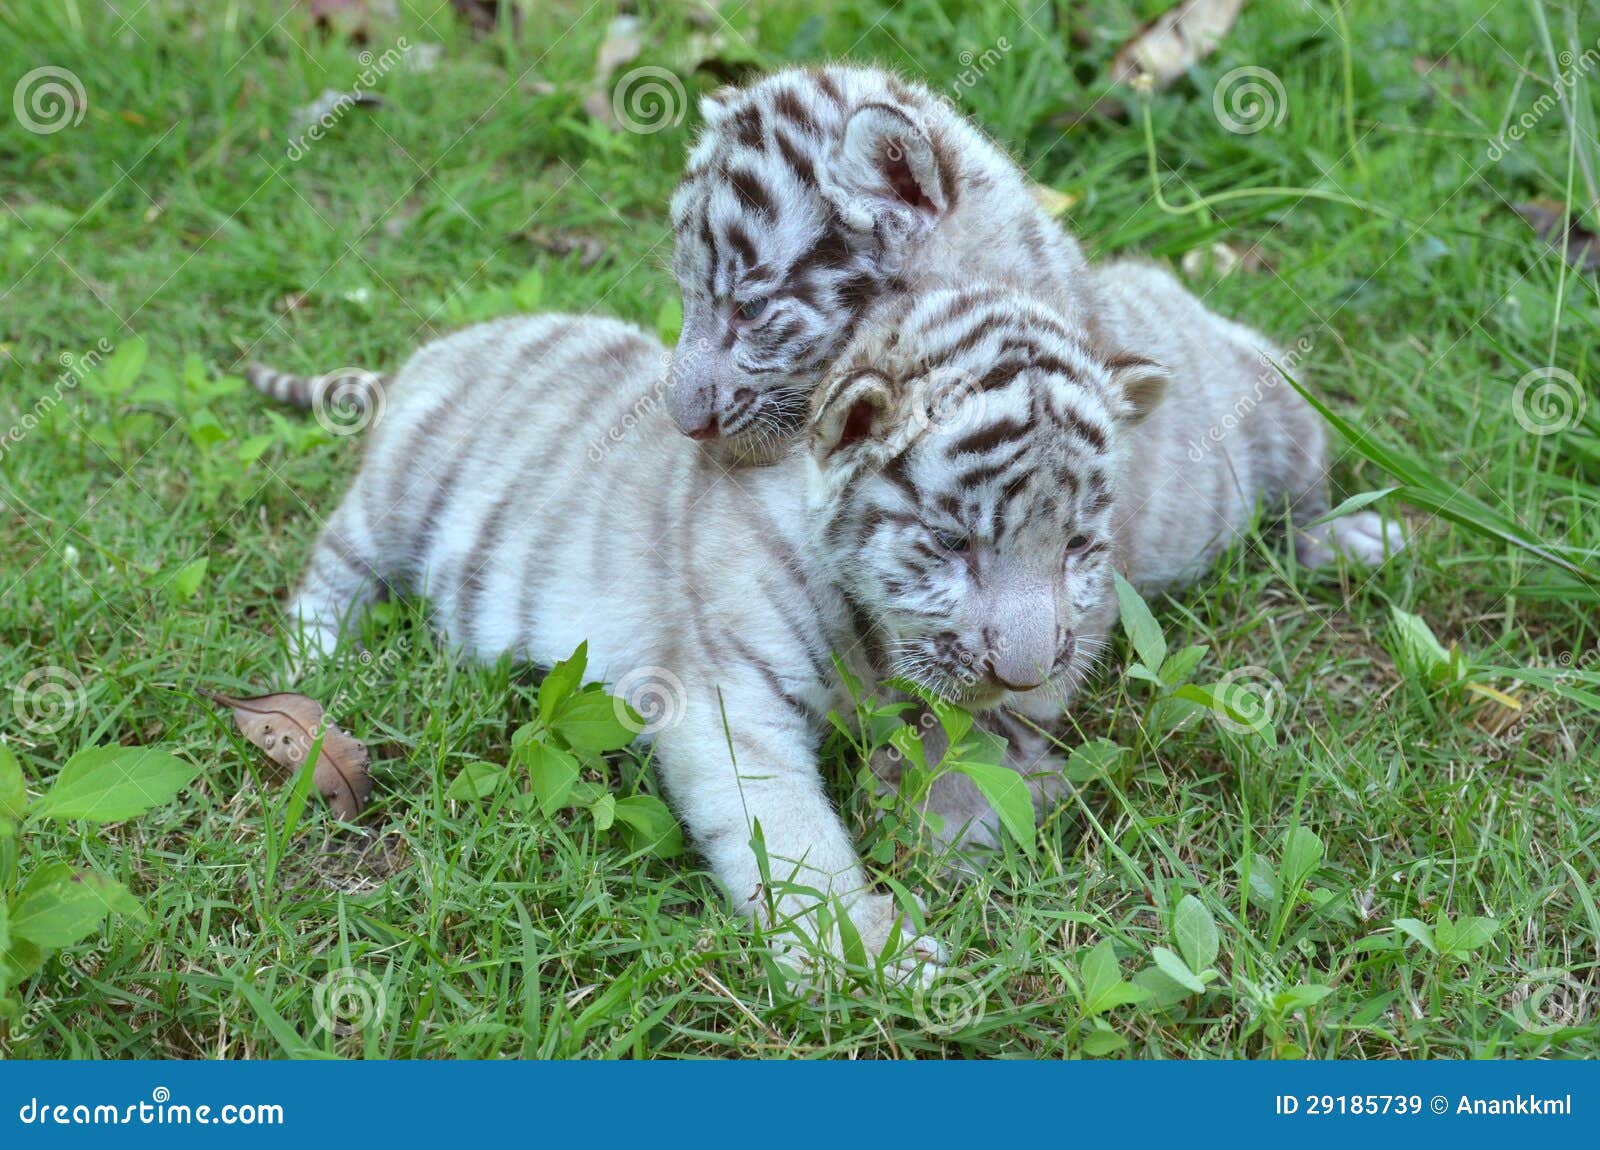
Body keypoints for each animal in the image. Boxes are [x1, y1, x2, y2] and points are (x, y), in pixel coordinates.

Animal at [249, 282, 1172, 977]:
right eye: (952, 544)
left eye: (1078, 547)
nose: (1030, 674)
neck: (876, 638)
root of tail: (434, 353)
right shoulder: (732, 703)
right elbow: (795, 845)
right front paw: (866, 960)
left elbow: (964, 766)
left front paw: (945, 842)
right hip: (390, 505)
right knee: (331, 566)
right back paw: (318, 660)